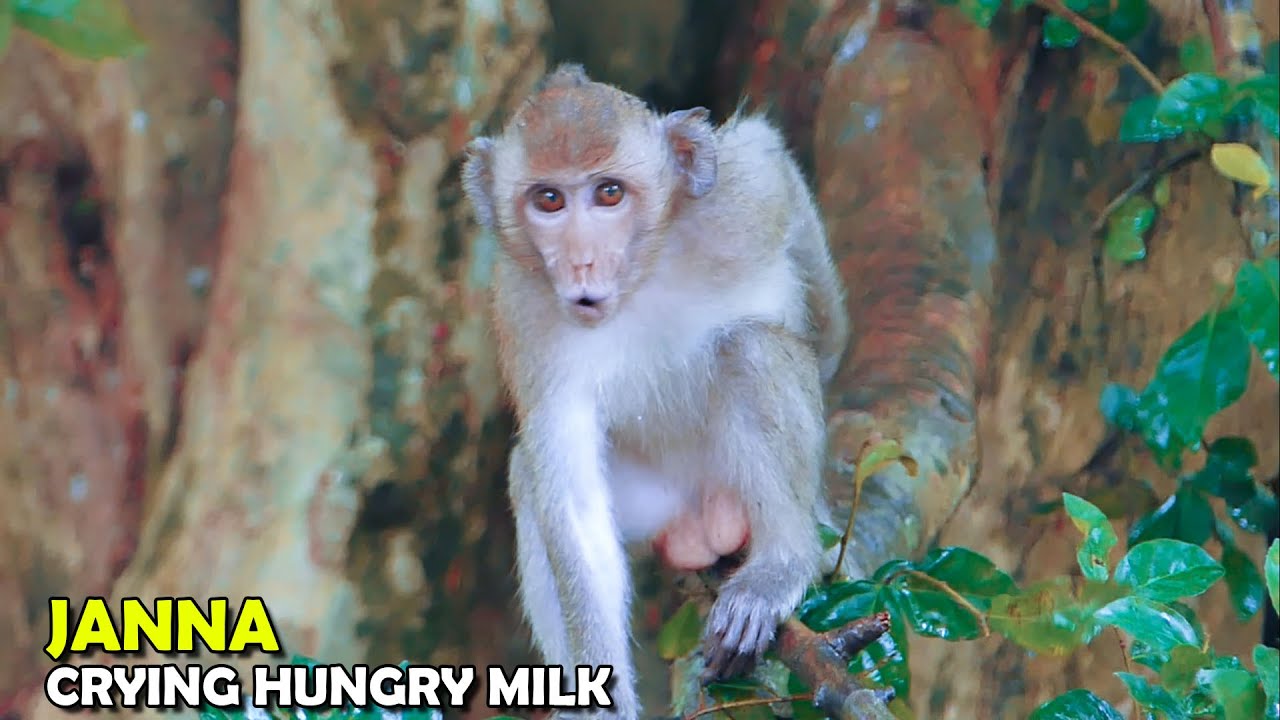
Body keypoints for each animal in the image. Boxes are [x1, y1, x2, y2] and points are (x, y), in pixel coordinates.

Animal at [461, 63, 849, 719]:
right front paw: (600, 697)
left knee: (749, 348)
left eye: (609, 193)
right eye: (548, 199)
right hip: (657, 506)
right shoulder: (521, 309)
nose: (582, 264)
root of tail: (700, 521)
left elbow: (776, 176)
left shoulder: (744, 199)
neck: (641, 279)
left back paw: (781, 564)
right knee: (528, 474)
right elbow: (575, 509)